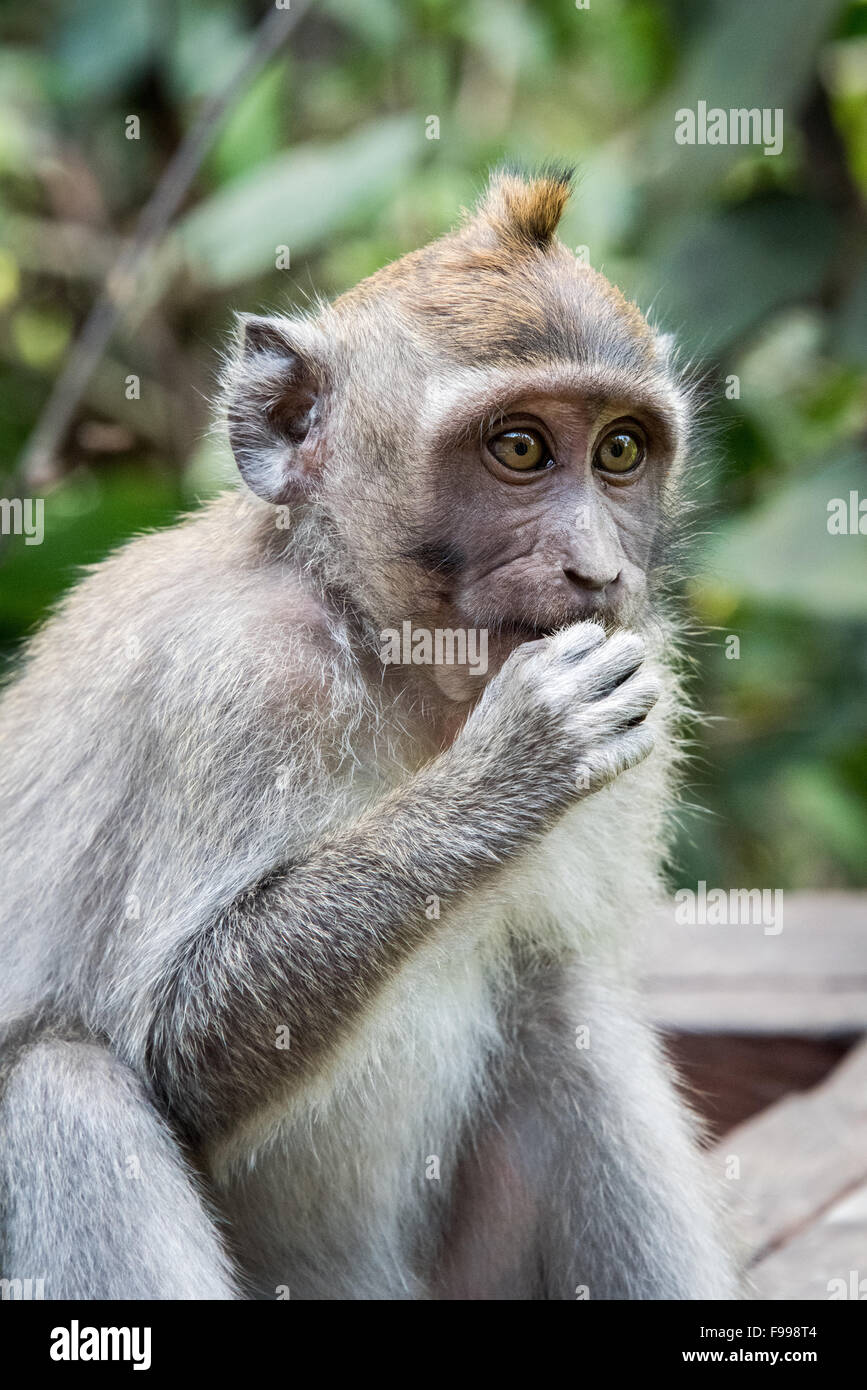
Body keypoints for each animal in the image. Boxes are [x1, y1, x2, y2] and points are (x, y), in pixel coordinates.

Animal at [0, 168, 737, 1301]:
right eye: (519, 448)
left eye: (620, 449)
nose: (598, 569)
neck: (386, 650)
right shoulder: (235, 686)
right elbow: (175, 1047)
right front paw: (511, 769)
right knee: (58, 1083)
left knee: (563, 1011)